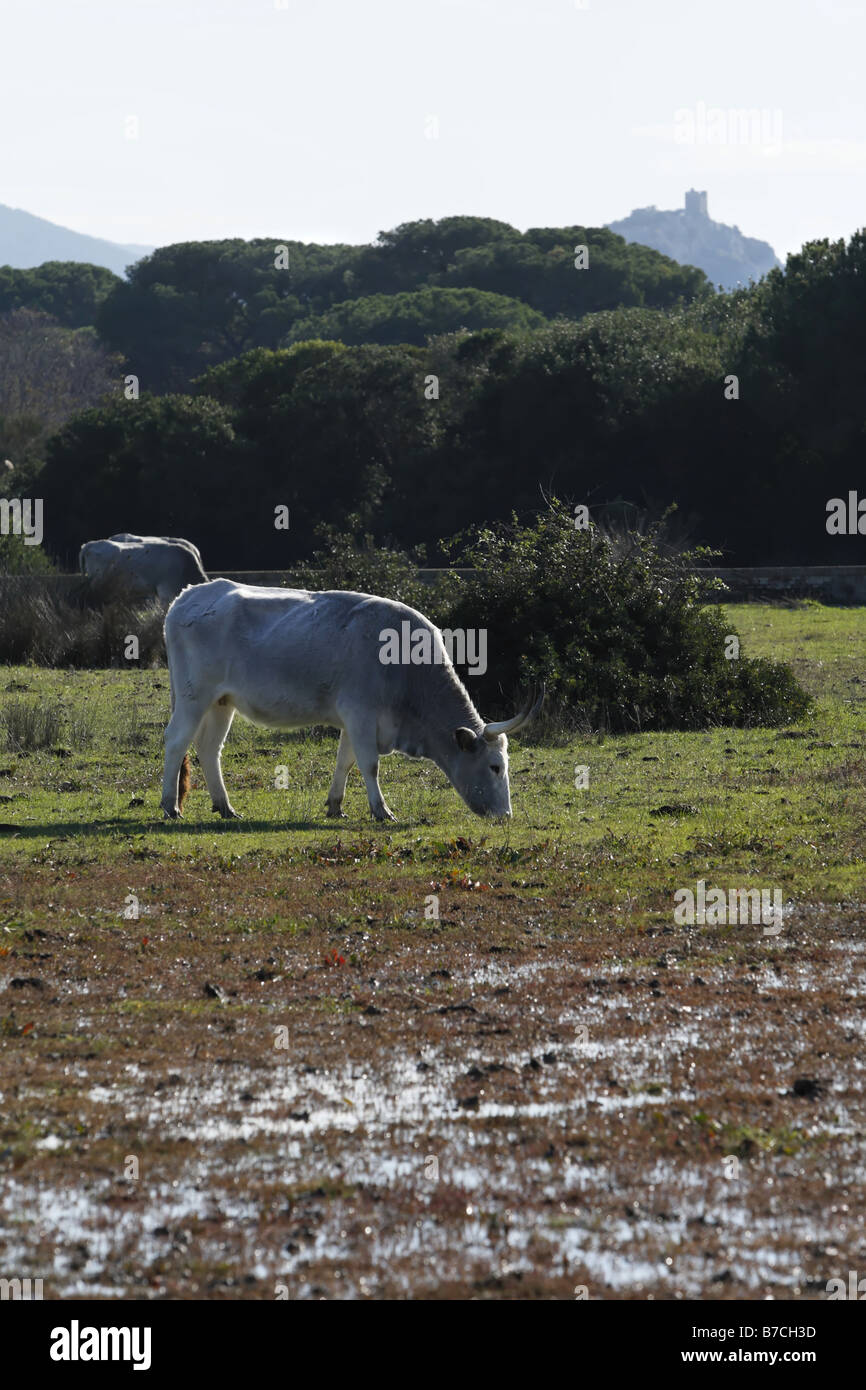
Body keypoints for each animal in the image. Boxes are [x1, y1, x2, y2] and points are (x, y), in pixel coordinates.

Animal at [160, 579, 543, 822]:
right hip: (194, 696)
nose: (505, 816)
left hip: (221, 702)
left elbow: (345, 762)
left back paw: (225, 807)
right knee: (177, 742)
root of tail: (188, 596)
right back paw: (170, 806)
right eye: (495, 767)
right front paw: (382, 811)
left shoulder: (354, 720)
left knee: (209, 748)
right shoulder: (361, 714)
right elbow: (369, 765)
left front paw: (335, 806)